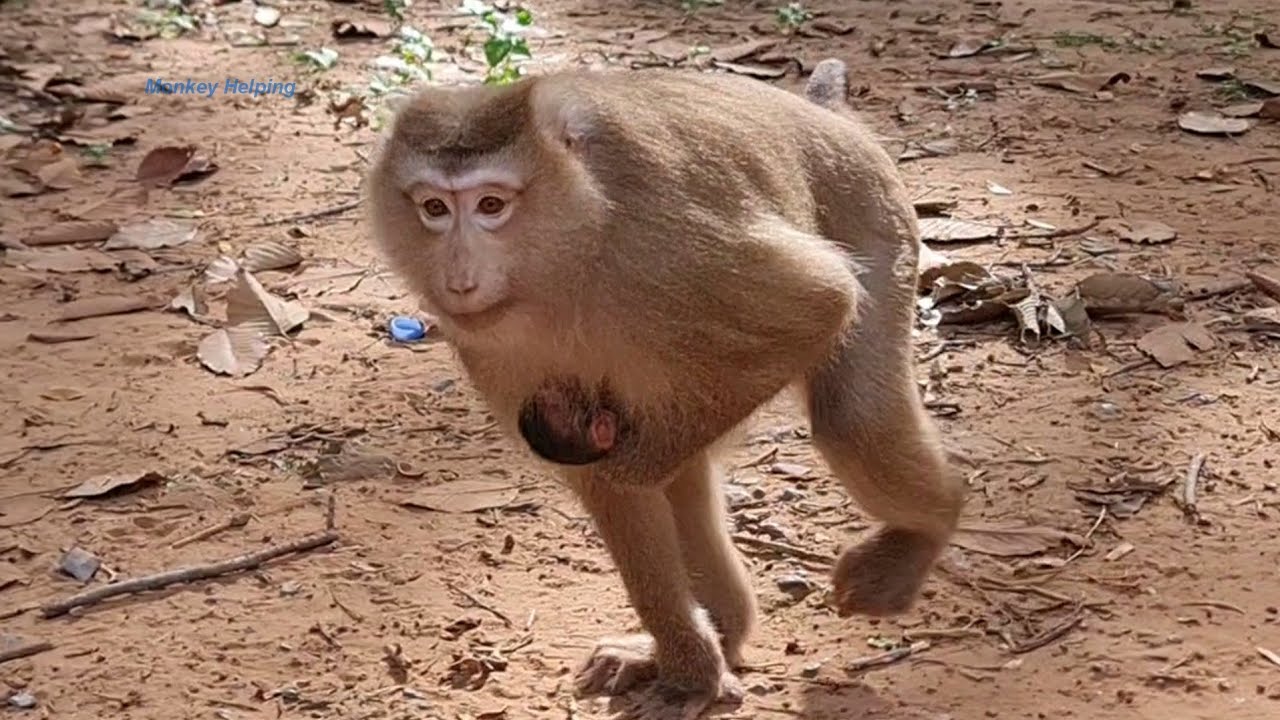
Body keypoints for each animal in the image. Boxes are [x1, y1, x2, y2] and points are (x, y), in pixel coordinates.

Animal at [365, 58, 967, 719]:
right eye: (434, 208)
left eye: (491, 204)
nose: (458, 278)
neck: (575, 236)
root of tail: (823, 117)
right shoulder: (489, 342)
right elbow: (606, 484)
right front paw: (688, 671)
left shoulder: (663, 246)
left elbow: (819, 302)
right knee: (688, 471)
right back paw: (723, 628)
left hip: (873, 211)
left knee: (851, 420)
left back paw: (926, 532)